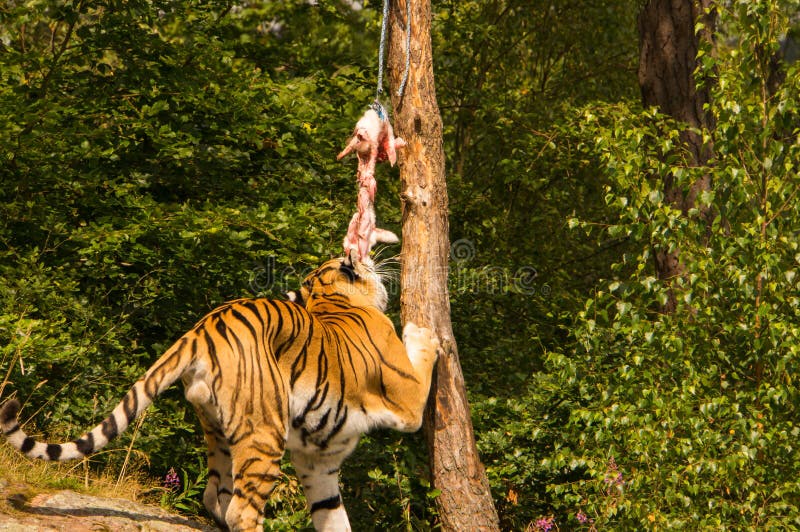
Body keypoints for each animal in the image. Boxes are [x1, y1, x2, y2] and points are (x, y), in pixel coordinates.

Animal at [0, 239, 439, 532]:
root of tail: (199, 330)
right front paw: (426, 334)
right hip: (265, 431)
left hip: (219, 430)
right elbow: (422, 359)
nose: (369, 256)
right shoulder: (408, 401)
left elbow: (333, 519)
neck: (330, 299)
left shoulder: (319, 464)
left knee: (217, 497)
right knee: (242, 510)